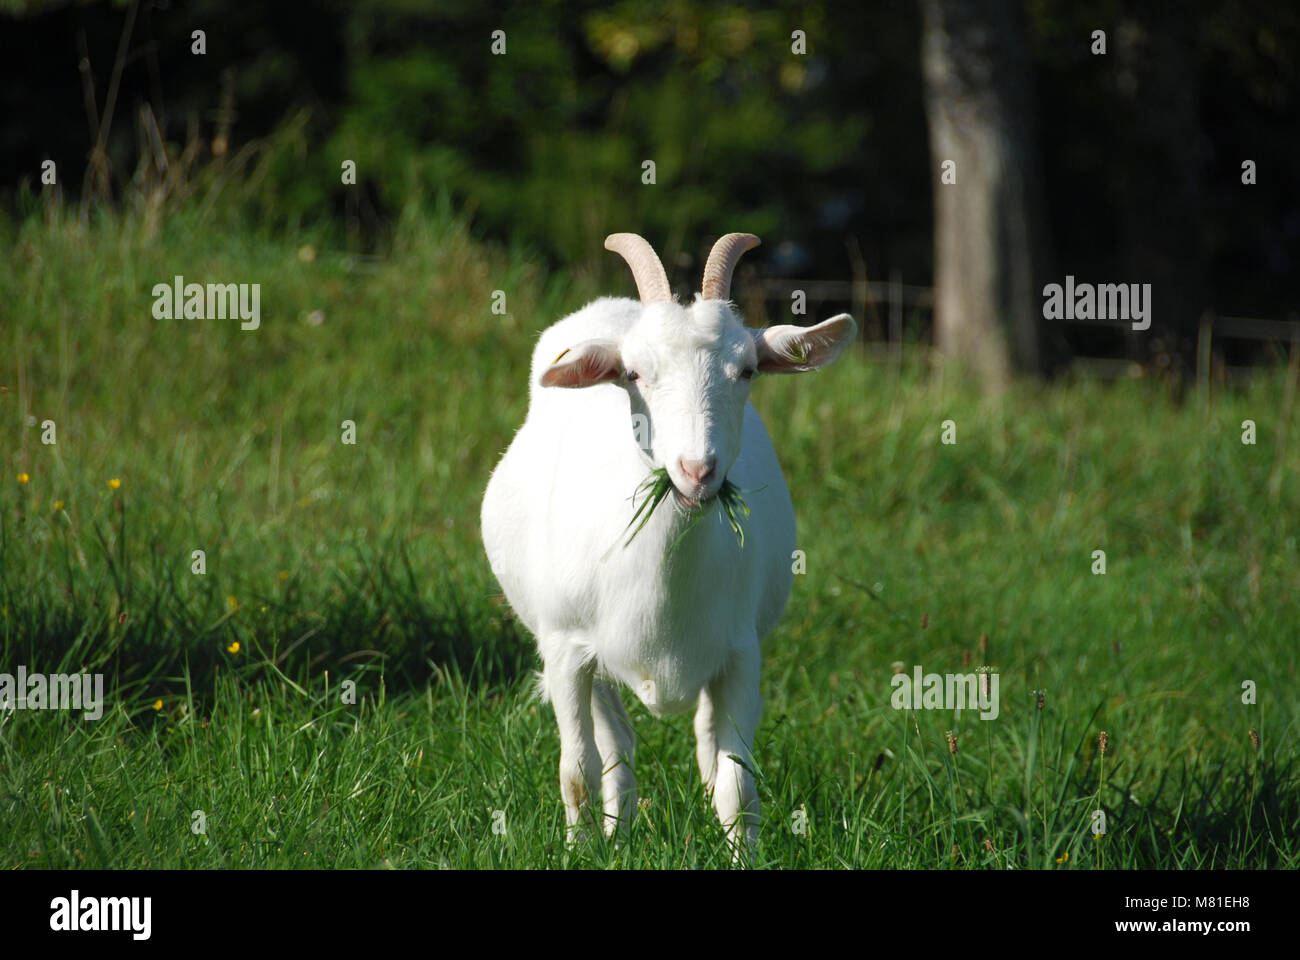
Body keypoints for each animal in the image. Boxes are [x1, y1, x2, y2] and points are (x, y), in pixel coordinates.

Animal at [480, 232, 856, 855]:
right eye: (633, 372)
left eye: (747, 370)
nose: (697, 471)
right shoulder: (565, 648)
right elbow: (577, 771)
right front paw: (579, 852)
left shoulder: (740, 652)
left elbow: (736, 784)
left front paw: (741, 856)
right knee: (616, 743)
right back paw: (616, 835)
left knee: (700, 743)